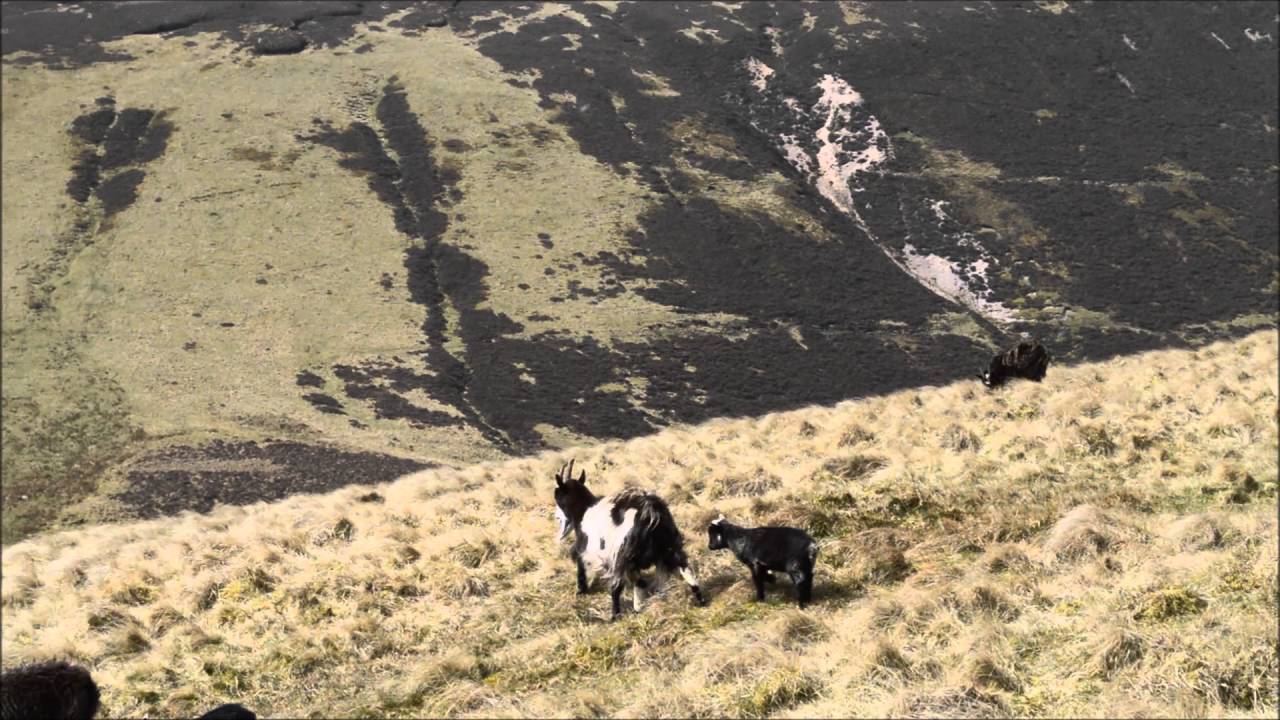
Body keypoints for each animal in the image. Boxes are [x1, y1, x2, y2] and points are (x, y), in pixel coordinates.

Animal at [553, 459, 706, 619]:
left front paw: (581, 589)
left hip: (623, 555)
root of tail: (651, 511)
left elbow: (581, 564)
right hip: (670, 544)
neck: (583, 510)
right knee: (685, 569)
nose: (556, 516)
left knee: (617, 587)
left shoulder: (589, 549)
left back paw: (615, 615)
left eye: (557, 495)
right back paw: (700, 600)